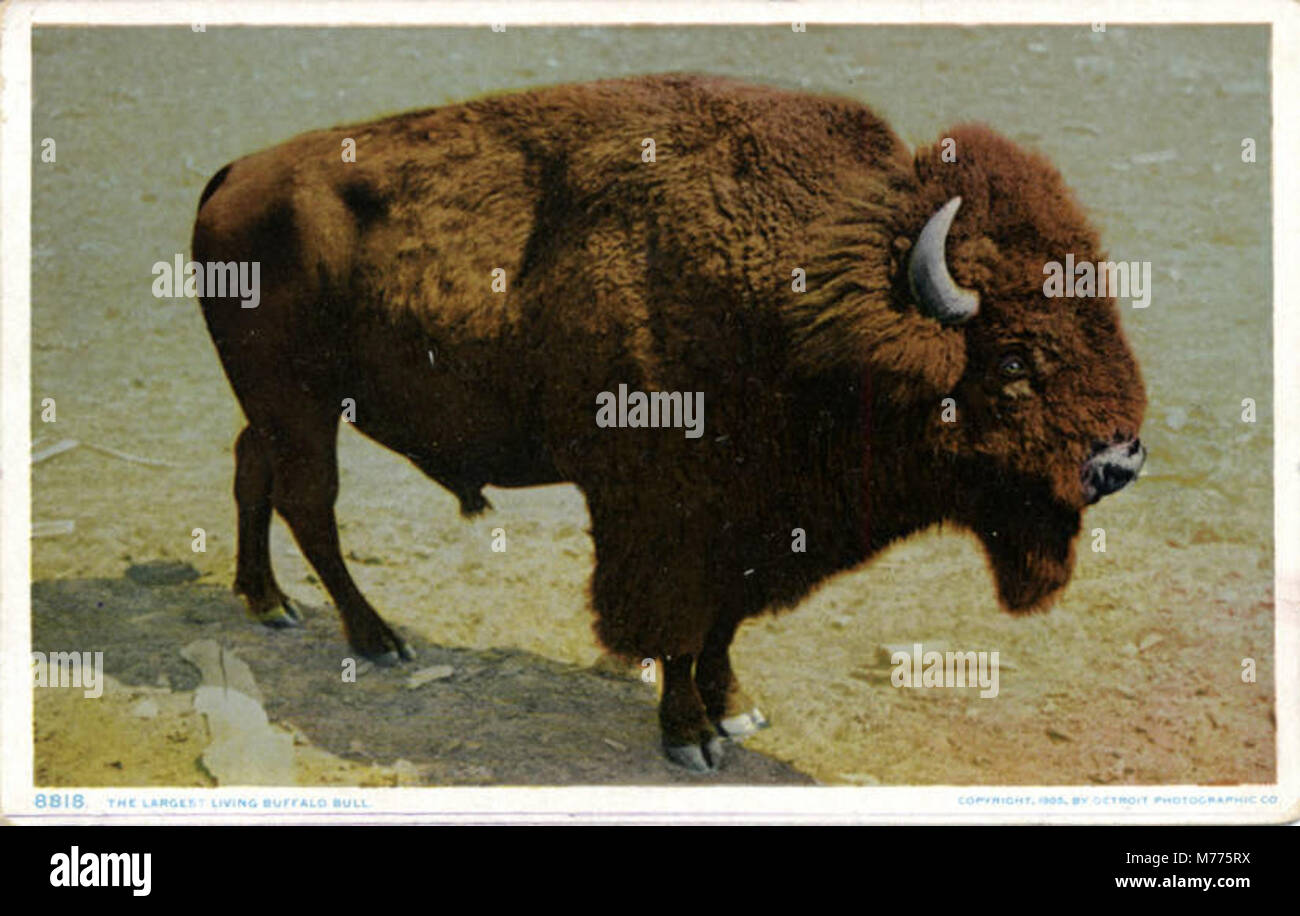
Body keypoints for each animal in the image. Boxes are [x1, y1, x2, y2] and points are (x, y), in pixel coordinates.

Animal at [192, 74, 1146, 772]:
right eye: (1015, 361)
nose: (1120, 460)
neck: (797, 297)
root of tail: (234, 172)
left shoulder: (755, 521)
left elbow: (723, 623)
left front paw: (737, 708)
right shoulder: (663, 520)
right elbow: (679, 627)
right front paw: (690, 736)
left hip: (284, 406)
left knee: (252, 471)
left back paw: (268, 602)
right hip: (300, 404)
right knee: (310, 504)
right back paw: (375, 639)